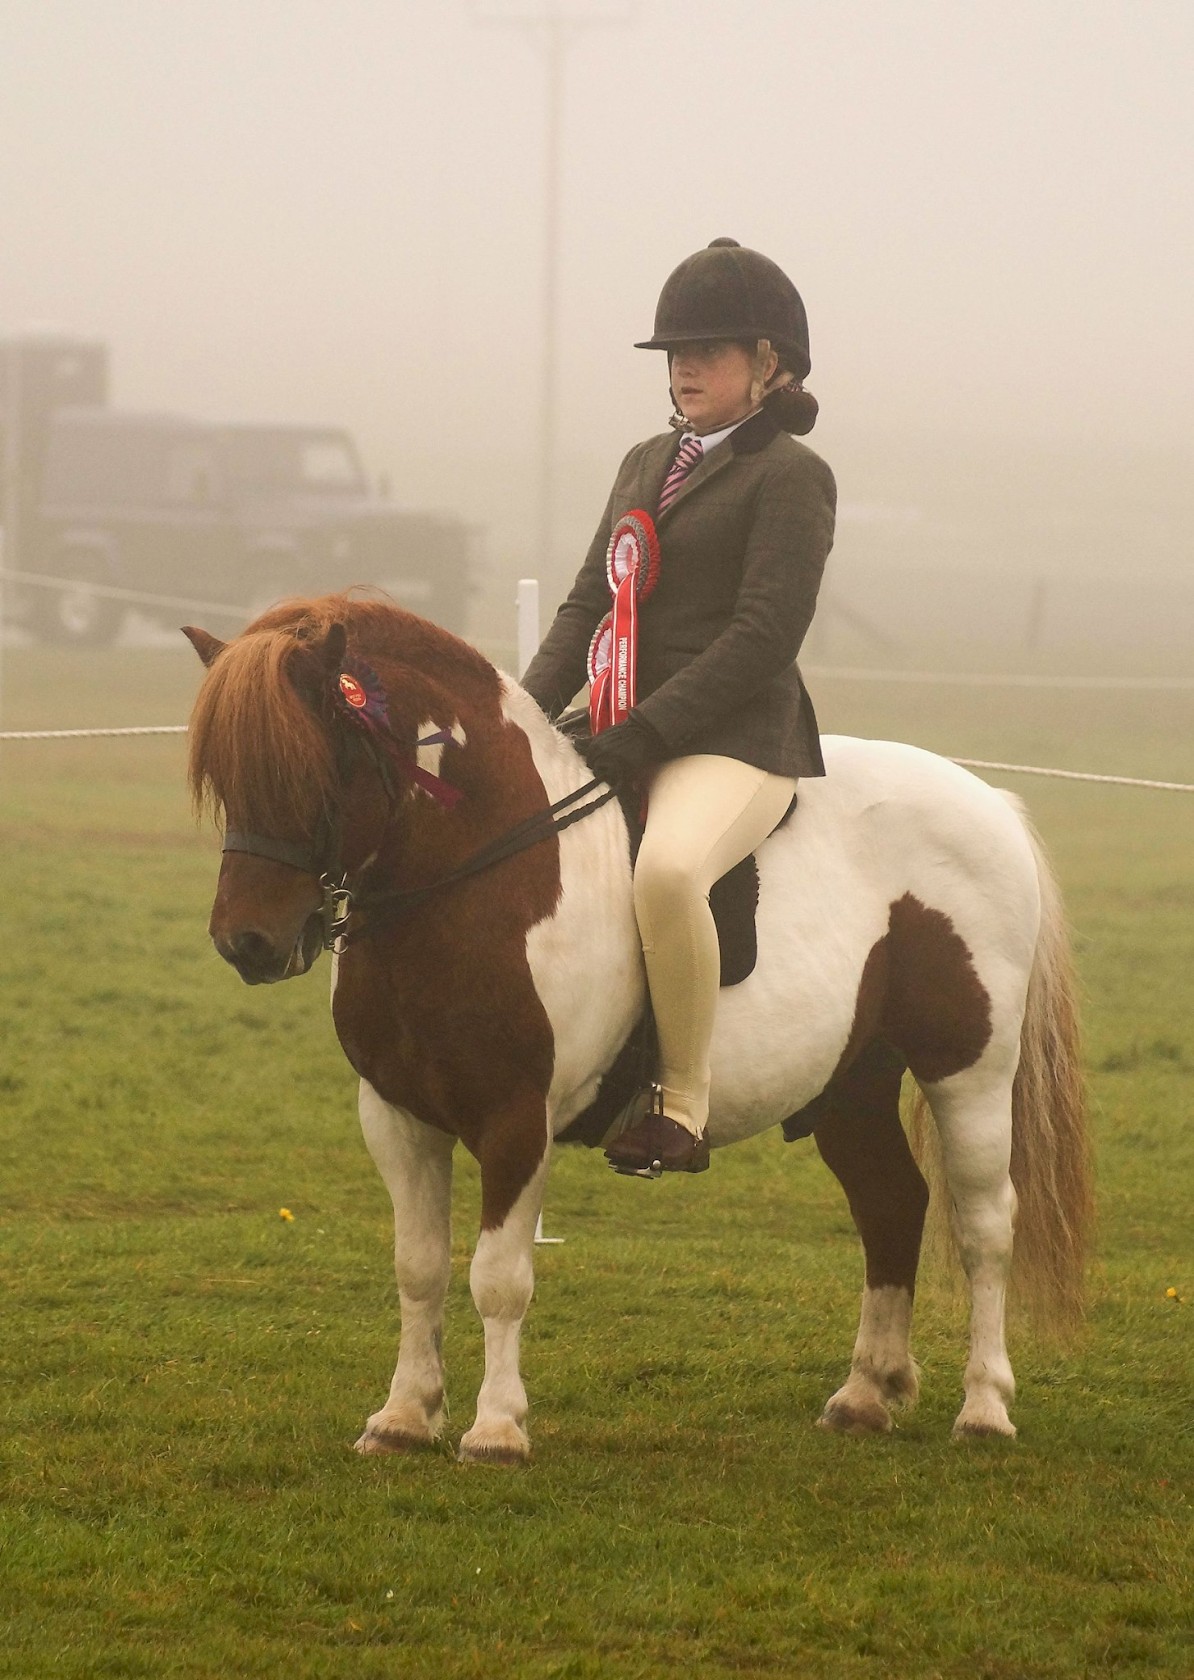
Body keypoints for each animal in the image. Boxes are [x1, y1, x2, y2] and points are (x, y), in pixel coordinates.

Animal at [183, 592, 1091, 1463]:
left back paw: (984, 1409)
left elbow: (499, 1276)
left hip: (968, 1071)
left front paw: (496, 1431)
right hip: (852, 1082)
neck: (484, 876)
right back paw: (865, 1397)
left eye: (311, 767)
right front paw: (403, 1419)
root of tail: (986, 799)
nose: (246, 943)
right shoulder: (397, 1116)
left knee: (983, 1224)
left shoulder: (516, 1119)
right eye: (223, 774)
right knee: (892, 1204)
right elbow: (419, 1269)